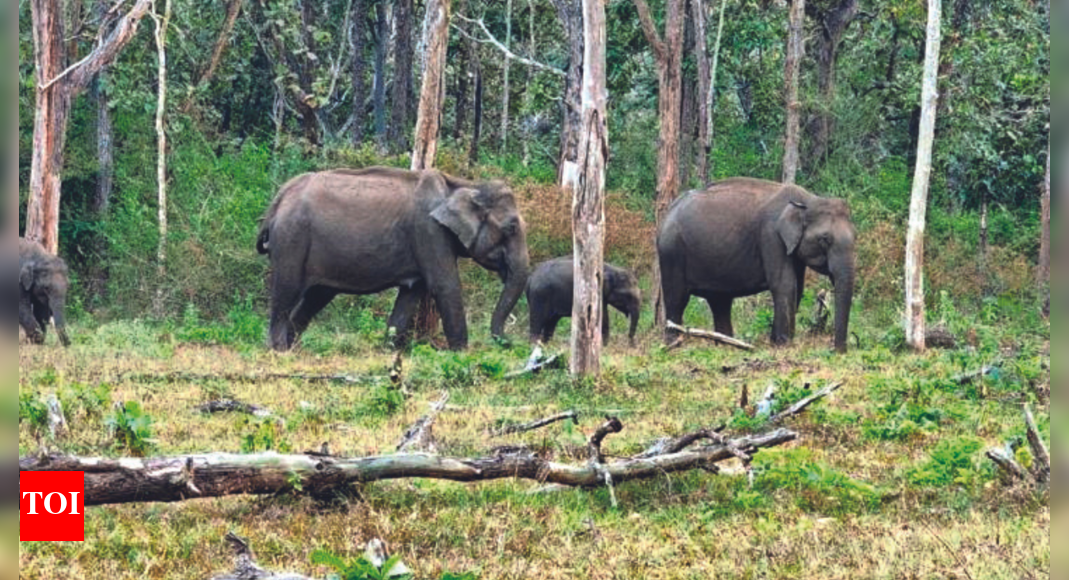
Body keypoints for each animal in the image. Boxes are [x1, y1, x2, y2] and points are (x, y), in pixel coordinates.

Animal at [256, 167, 530, 351]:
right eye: (511, 228)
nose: (510, 342)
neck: (465, 184)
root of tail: (277, 200)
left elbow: (412, 293)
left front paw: (389, 350)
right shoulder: (428, 230)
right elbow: (445, 285)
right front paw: (461, 353)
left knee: (316, 296)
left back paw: (293, 348)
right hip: (292, 240)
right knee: (286, 289)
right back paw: (279, 350)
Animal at [657, 178, 857, 352]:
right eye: (825, 239)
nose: (836, 351)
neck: (807, 200)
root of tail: (669, 211)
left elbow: (797, 288)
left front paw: (775, 342)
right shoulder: (771, 236)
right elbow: (784, 285)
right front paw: (784, 345)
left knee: (720, 302)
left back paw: (727, 344)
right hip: (671, 253)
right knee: (677, 298)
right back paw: (673, 344)